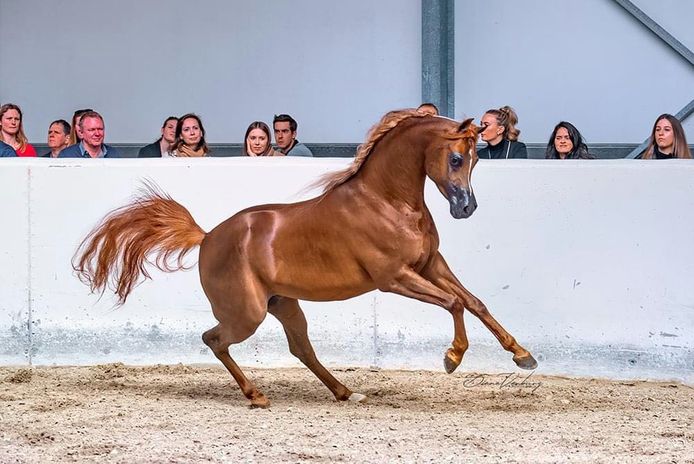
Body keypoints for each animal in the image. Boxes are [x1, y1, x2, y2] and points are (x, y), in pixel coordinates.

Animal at [73, 109, 537, 408]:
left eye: (476, 158)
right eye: (456, 158)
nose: (466, 208)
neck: (386, 201)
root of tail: (207, 237)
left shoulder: (430, 265)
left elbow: (476, 302)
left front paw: (523, 355)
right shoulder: (394, 277)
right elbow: (455, 303)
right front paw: (452, 358)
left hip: (284, 304)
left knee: (301, 349)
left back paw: (346, 393)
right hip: (247, 313)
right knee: (214, 339)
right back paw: (257, 396)